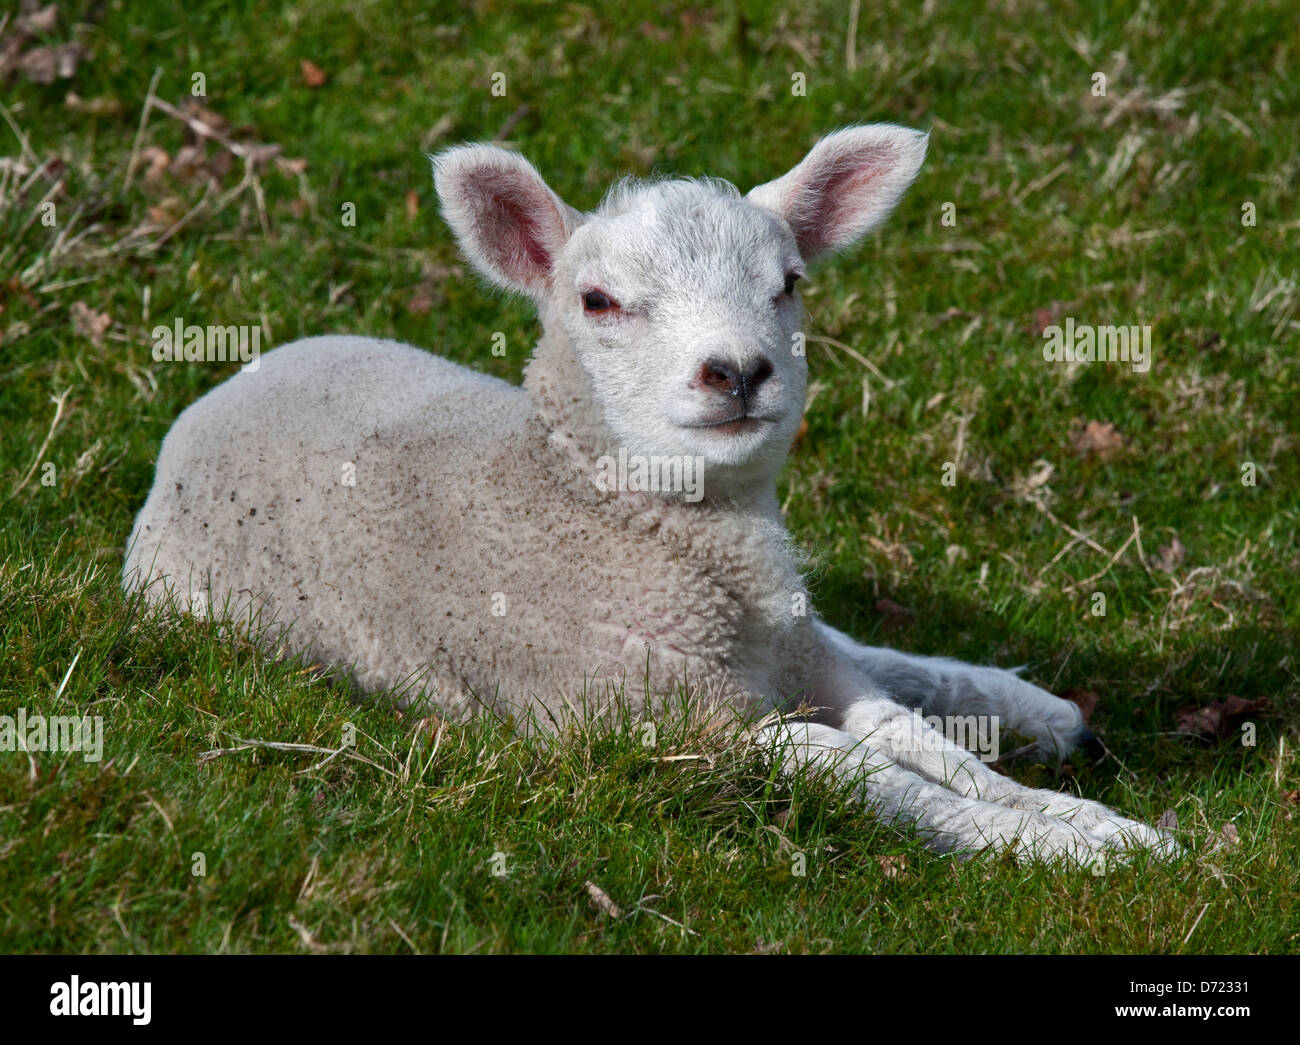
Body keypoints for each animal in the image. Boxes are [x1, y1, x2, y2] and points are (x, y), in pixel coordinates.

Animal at [123, 125, 1177, 865]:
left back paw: (1033, 708)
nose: (738, 370)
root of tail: (230, 384)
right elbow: (866, 770)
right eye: (597, 301)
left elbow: (912, 738)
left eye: (790, 281)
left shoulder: (787, 662)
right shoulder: (659, 720)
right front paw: (1059, 846)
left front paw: (1081, 820)